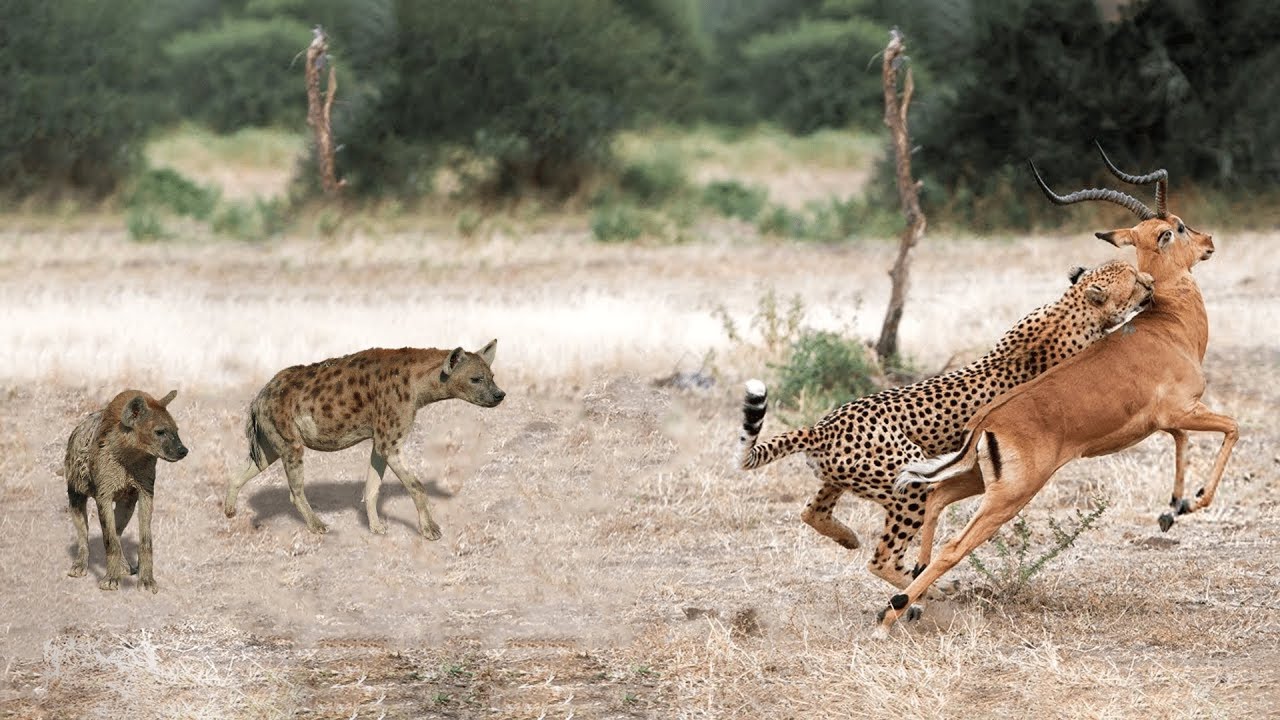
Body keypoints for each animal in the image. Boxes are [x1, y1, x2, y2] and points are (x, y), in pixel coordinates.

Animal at [878, 147, 1236, 633]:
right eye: (1178, 227)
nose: (1209, 241)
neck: (1169, 324)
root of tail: (987, 421)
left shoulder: (1166, 421)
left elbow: (1182, 444)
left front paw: (1171, 509)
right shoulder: (1183, 411)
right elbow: (1232, 428)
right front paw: (1193, 502)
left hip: (979, 479)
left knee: (935, 499)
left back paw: (908, 597)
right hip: (1011, 496)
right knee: (955, 546)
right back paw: (891, 614)